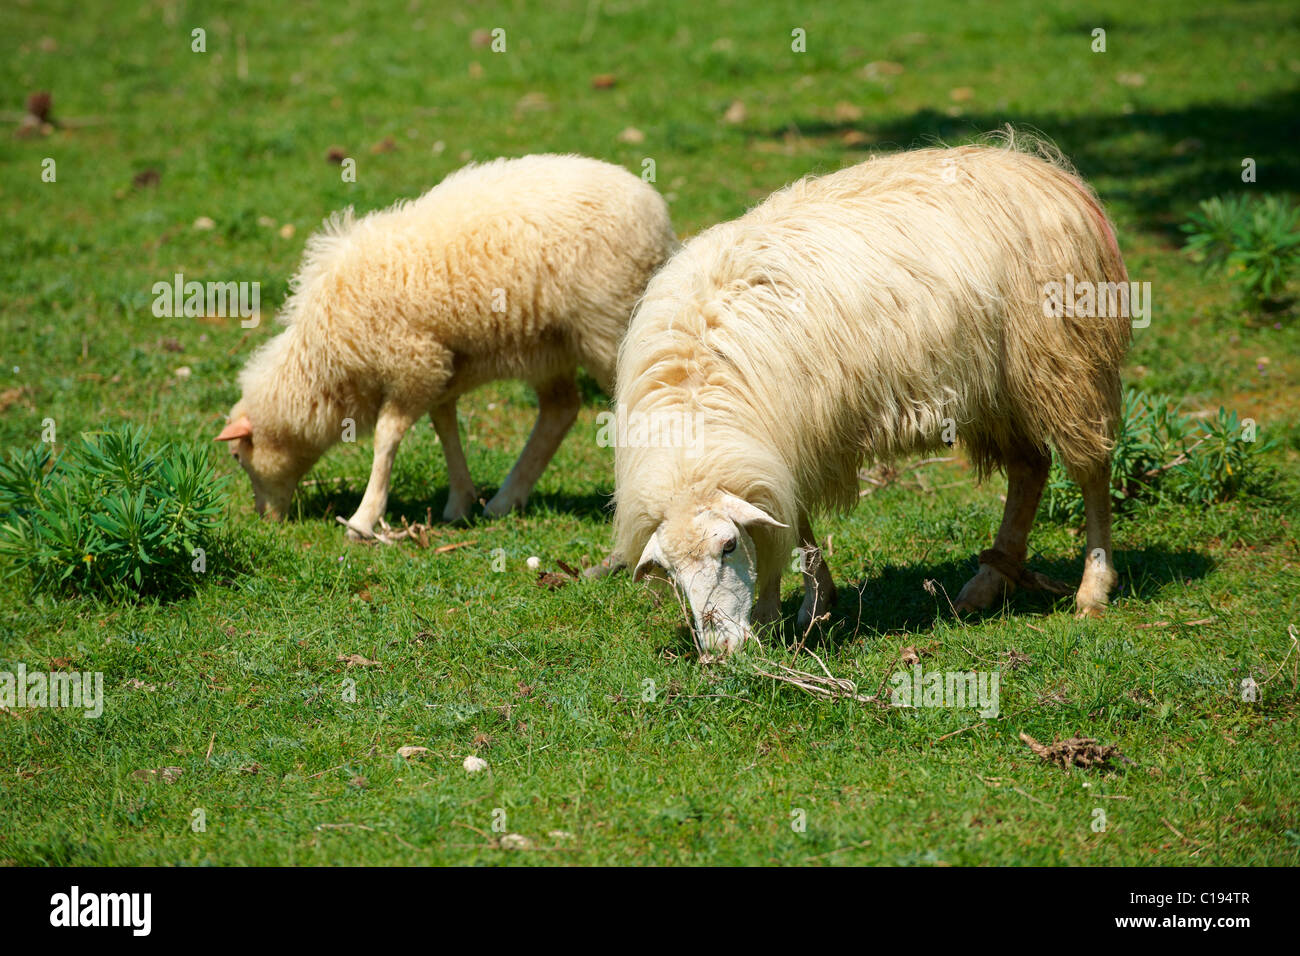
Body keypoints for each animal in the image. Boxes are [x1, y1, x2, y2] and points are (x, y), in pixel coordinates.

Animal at [216, 154, 676, 537]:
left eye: (238, 457)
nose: (263, 519)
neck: (324, 360)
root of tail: (656, 210)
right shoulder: (444, 367)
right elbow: (444, 427)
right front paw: (460, 501)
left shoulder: (415, 360)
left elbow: (387, 436)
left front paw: (364, 518)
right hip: (551, 346)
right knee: (560, 410)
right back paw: (505, 500)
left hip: (609, 327)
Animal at [613, 135, 1130, 658]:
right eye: (671, 572)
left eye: (728, 546)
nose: (720, 650)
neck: (697, 382)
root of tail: (1046, 171)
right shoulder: (784, 443)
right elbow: (791, 523)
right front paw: (812, 605)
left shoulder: (800, 435)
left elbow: (782, 528)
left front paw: (774, 611)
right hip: (999, 391)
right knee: (1030, 469)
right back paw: (985, 584)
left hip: (1065, 364)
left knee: (1092, 471)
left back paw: (1093, 587)